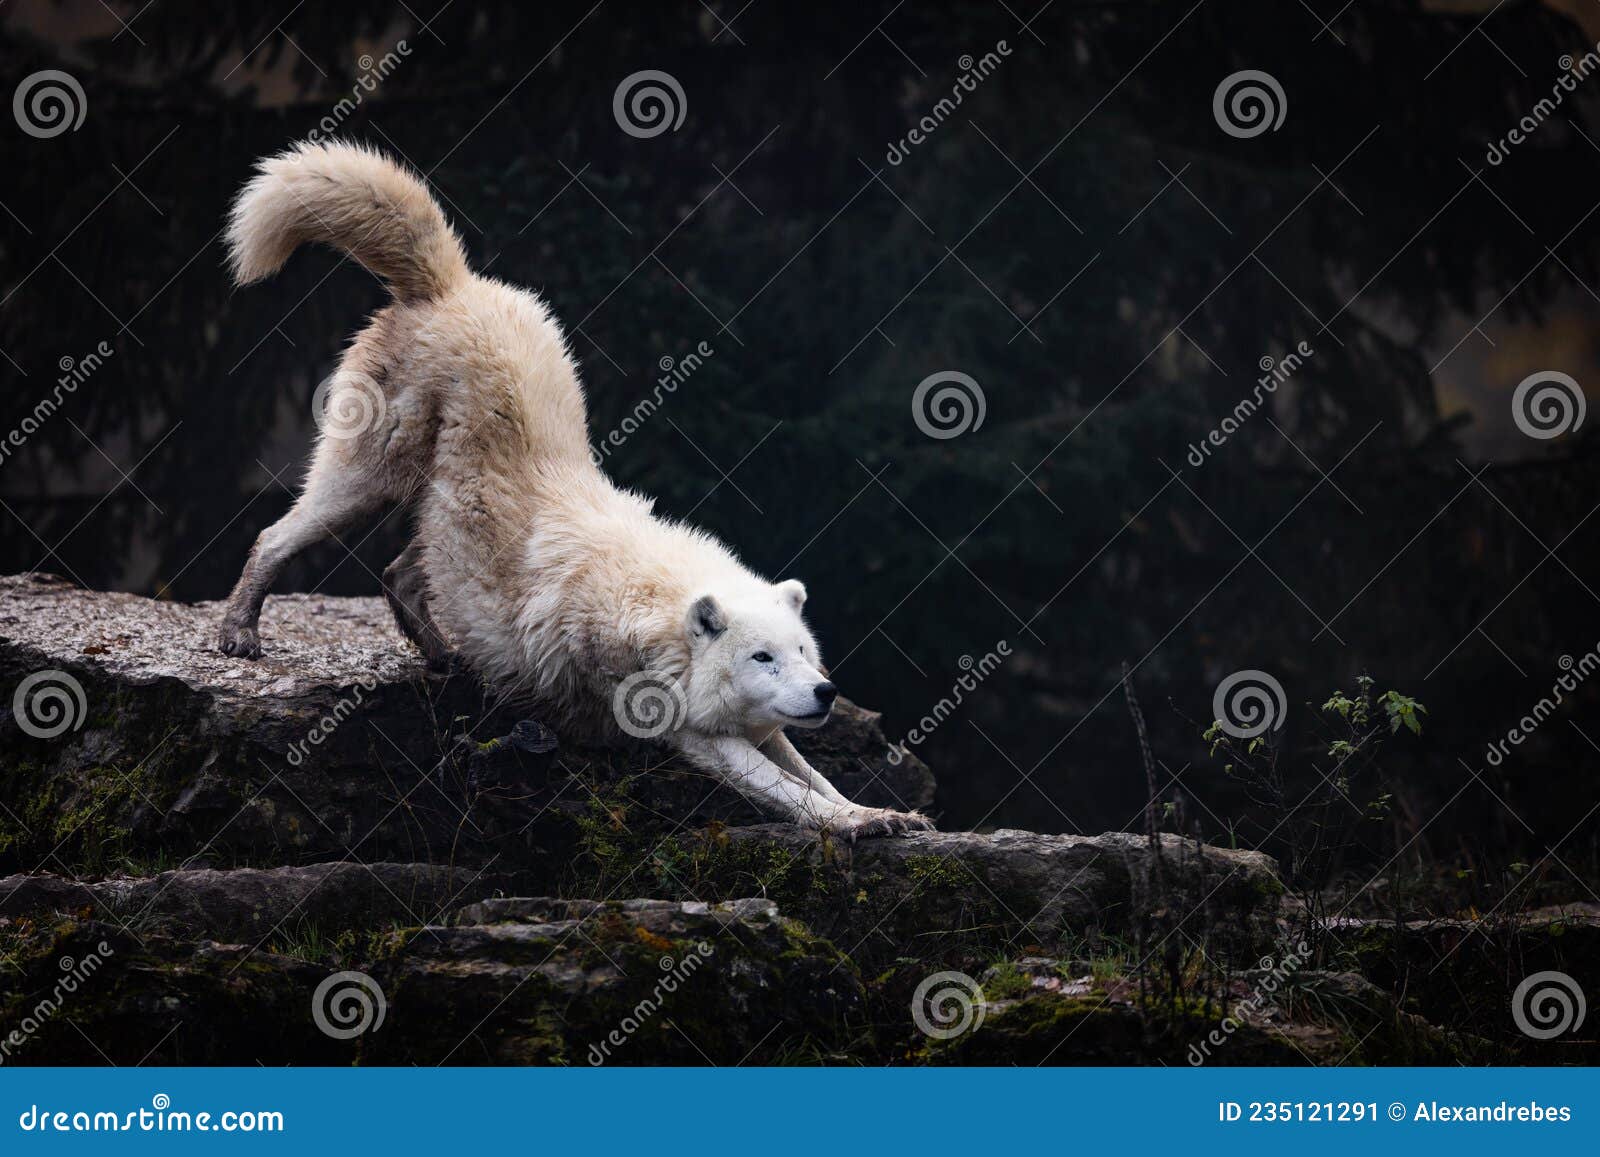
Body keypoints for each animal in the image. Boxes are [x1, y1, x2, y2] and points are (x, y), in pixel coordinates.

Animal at [217, 141, 932, 839]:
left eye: (804, 651)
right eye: (762, 657)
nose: (825, 693)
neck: (652, 605)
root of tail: (449, 284)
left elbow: (815, 775)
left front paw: (883, 814)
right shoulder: (687, 728)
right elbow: (787, 789)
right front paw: (855, 825)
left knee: (397, 572)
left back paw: (447, 659)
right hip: (369, 479)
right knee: (276, 533)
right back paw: (239, 634)